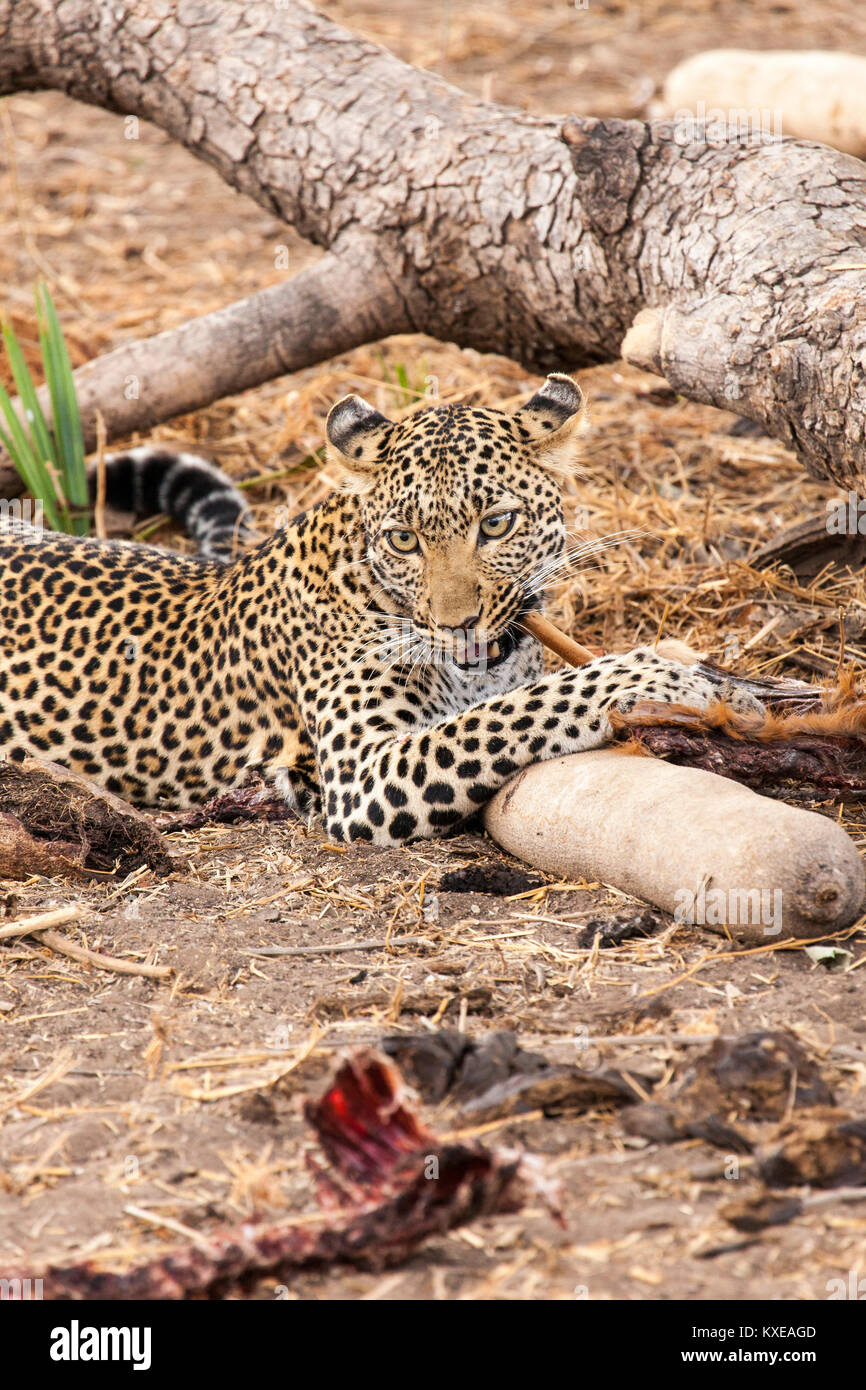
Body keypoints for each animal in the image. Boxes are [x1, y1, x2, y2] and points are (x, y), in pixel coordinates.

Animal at [0, 374, 751, 845]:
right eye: (404, 539)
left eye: (497, 524)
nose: (456, 625)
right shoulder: (366, 772)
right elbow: (513, 713)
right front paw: (662, 675)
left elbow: (521, 695)